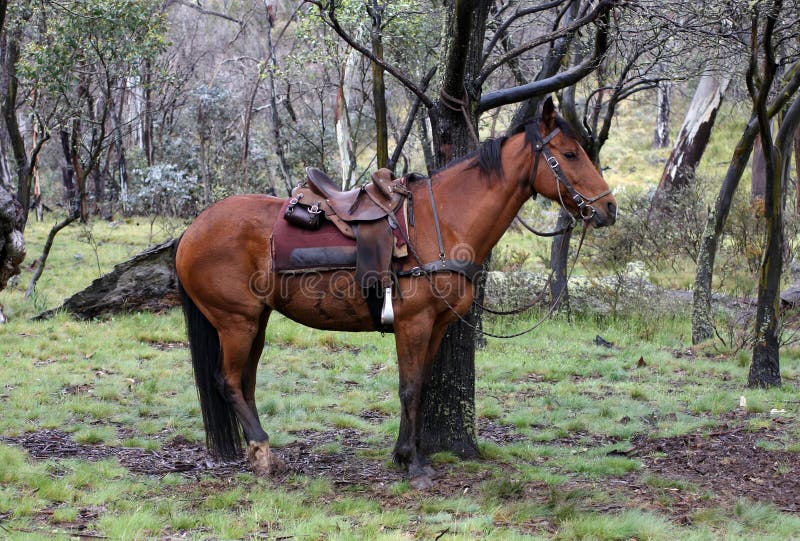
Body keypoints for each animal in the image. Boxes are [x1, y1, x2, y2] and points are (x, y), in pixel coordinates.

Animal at [174, 97, 617, 487]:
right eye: (570, 154)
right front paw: (415, 466)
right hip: (236, 321)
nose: (609, 208)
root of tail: (191, 232)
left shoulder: (436, 325)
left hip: (257, 321)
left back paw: (261, 453)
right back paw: (264, 454)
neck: (443, 223)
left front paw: (406, 455)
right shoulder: (412, 322)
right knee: (229, 381)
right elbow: (410, 388)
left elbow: (420, 384)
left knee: (246, 382)